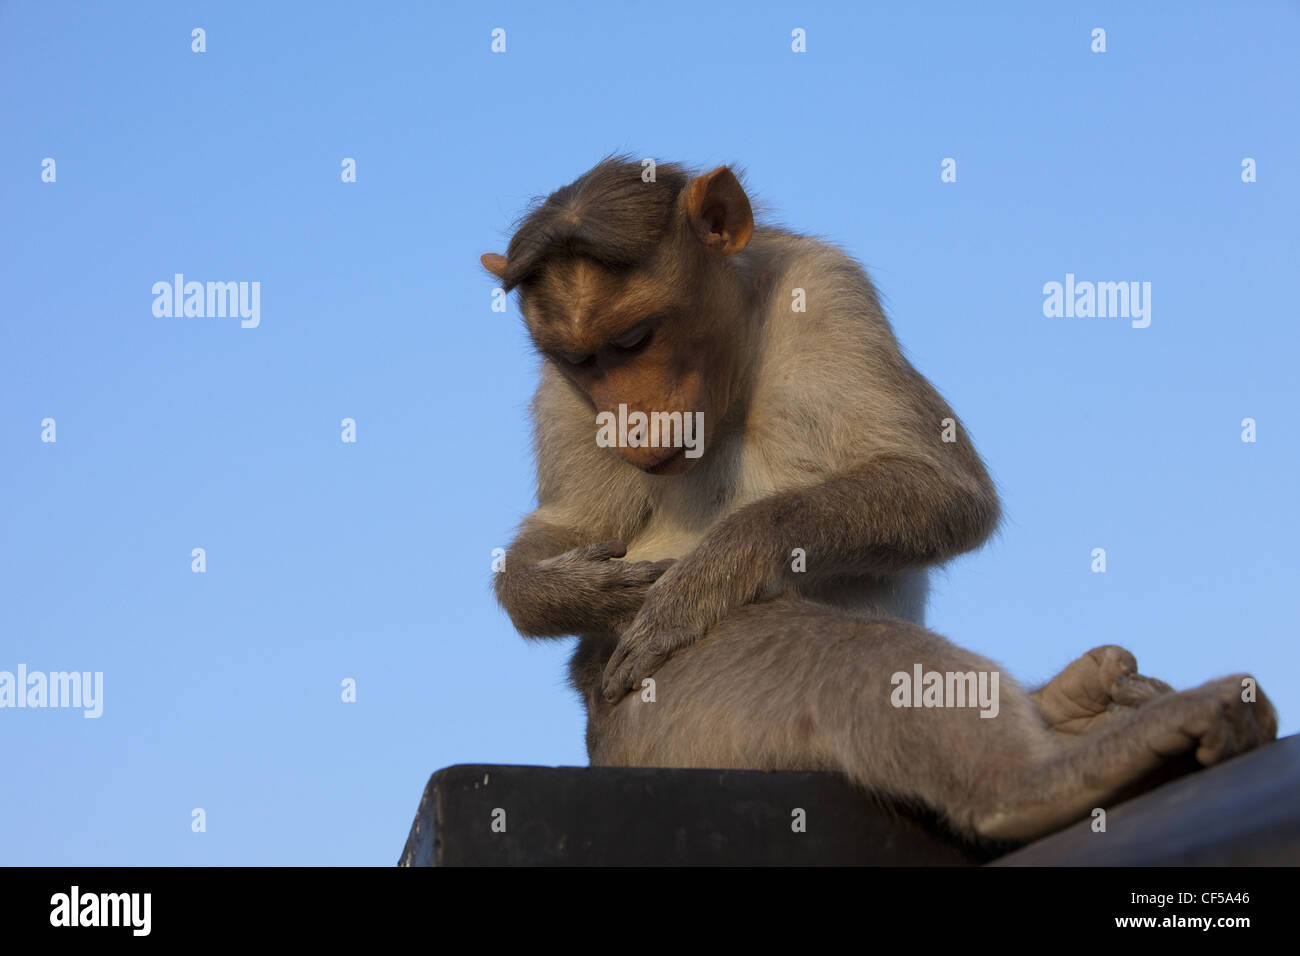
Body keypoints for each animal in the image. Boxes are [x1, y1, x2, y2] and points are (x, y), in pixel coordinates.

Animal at [482, 156, 1277, 842]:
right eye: (583, 360)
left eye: (635, 338)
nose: (627, 420)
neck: (734, 371)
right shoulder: (563, 398)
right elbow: (572, 525)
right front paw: (563, 591)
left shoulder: (829, 291)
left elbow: (940, 484)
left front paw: (718, 565)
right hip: (658, 715)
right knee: (835, 662)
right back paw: (1028, 785)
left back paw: (1064, 717)